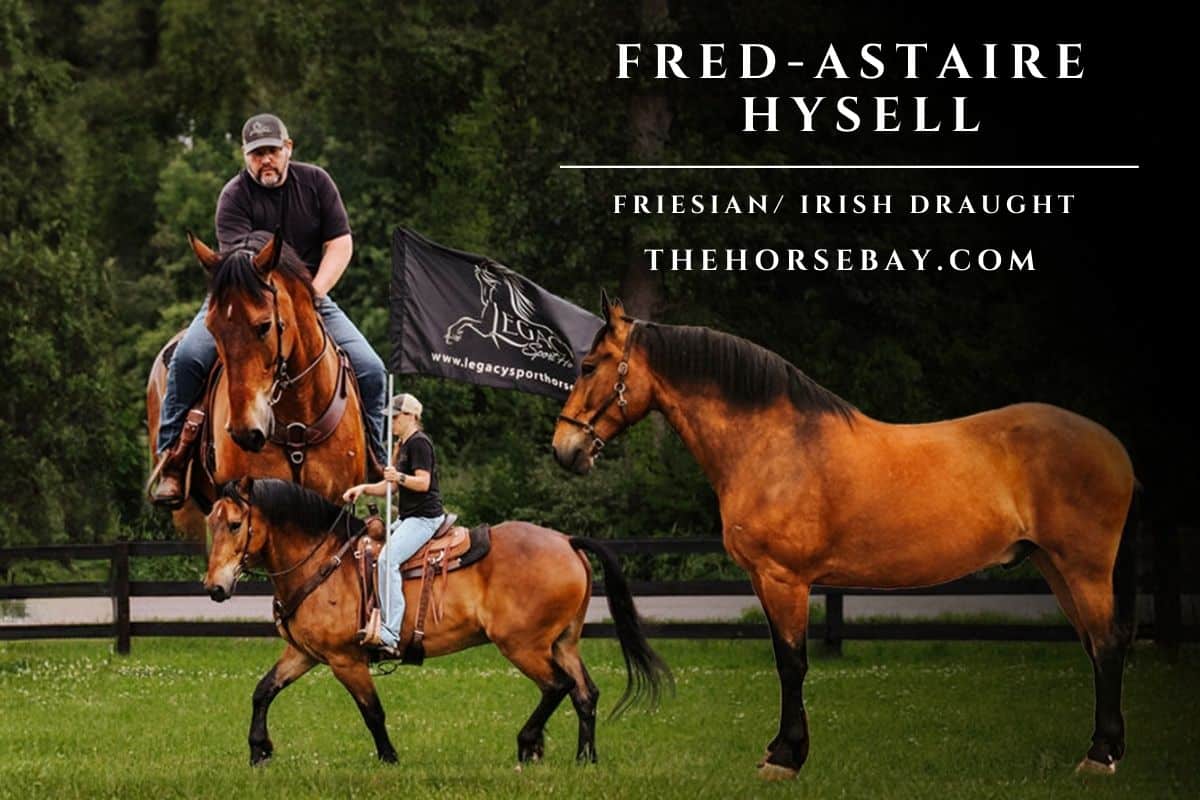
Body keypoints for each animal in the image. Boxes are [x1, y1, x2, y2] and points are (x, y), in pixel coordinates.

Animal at [202, 476, 671, 766]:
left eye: (236, 524)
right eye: (211, 522)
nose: (214, 587)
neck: (325, 563)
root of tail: (567, 541)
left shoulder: (345, 661)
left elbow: (373, 712)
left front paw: (390, 759)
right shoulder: (305, 653)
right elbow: (263, 691)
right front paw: (259, 750)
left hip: (524, 646)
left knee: (558, 686)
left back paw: (528, 745)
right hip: (563, 643)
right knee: (584, 693)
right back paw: (584, 758)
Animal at [552, 294, 1138, 780]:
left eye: (588, 366)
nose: (564, 449)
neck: (772, 443)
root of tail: (1114, 449)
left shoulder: (785, 579)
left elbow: (792, 663)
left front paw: (786, 758)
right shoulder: (765, 581)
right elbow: (783, 659)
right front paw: (778, 749)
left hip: (1083, 567)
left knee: (1108, 644)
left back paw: (1100, 757)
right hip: (1054, 565)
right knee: (1094, 644)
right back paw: (1103, 749)